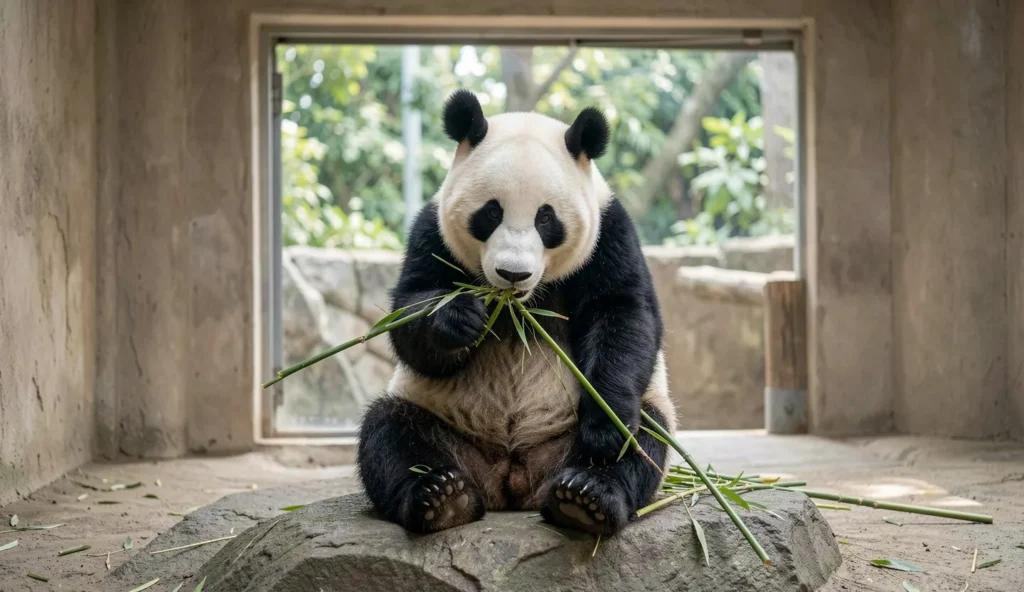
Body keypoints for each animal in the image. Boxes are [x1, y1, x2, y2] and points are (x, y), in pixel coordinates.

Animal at [356, 89, 677, 536]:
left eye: (546, 217)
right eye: (491, 212)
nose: (513, 274)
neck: (519, 304)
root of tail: (513, 480)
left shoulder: (610, 234)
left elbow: (622, 313)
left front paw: (604, 430)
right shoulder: (431, 231)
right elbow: (411, 312)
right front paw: (458, 318)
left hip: (601, 423)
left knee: (645, 437)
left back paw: (586, 497)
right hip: (441, 418)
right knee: (391, 434)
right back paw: (443, 498)